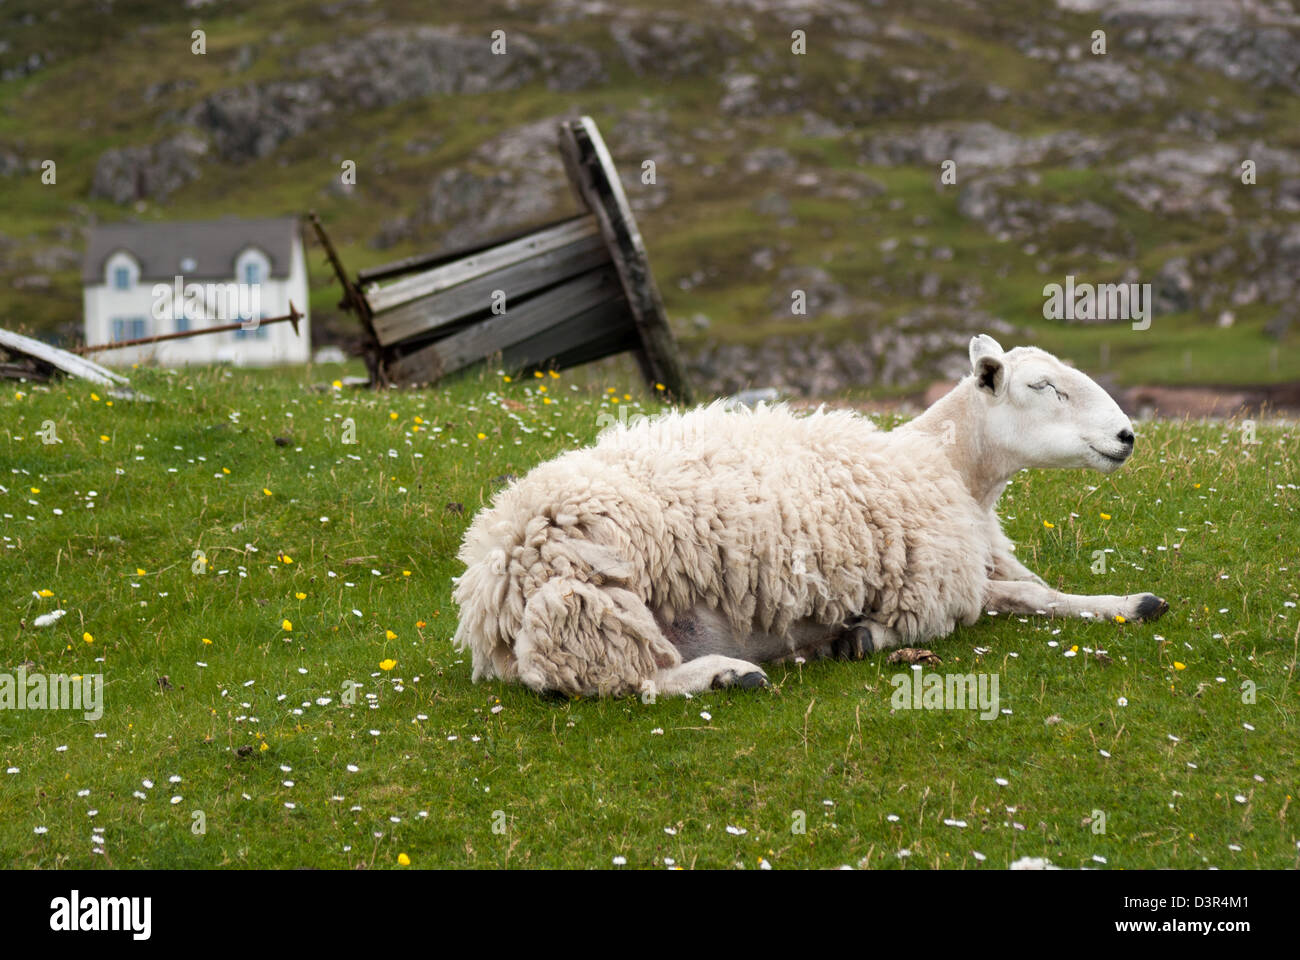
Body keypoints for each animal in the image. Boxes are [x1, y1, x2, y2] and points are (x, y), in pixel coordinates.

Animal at [452, 334, 1168, 699]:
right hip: (588, 601)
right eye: (1042, 387)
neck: (949, 468)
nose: (1128, 436)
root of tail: (486, 590)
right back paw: (727, 674)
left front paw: (1128, 603)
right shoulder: (932, 585)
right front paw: (862, 638)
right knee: (616, 679)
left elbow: (1033, 591)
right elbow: (1015, 598)